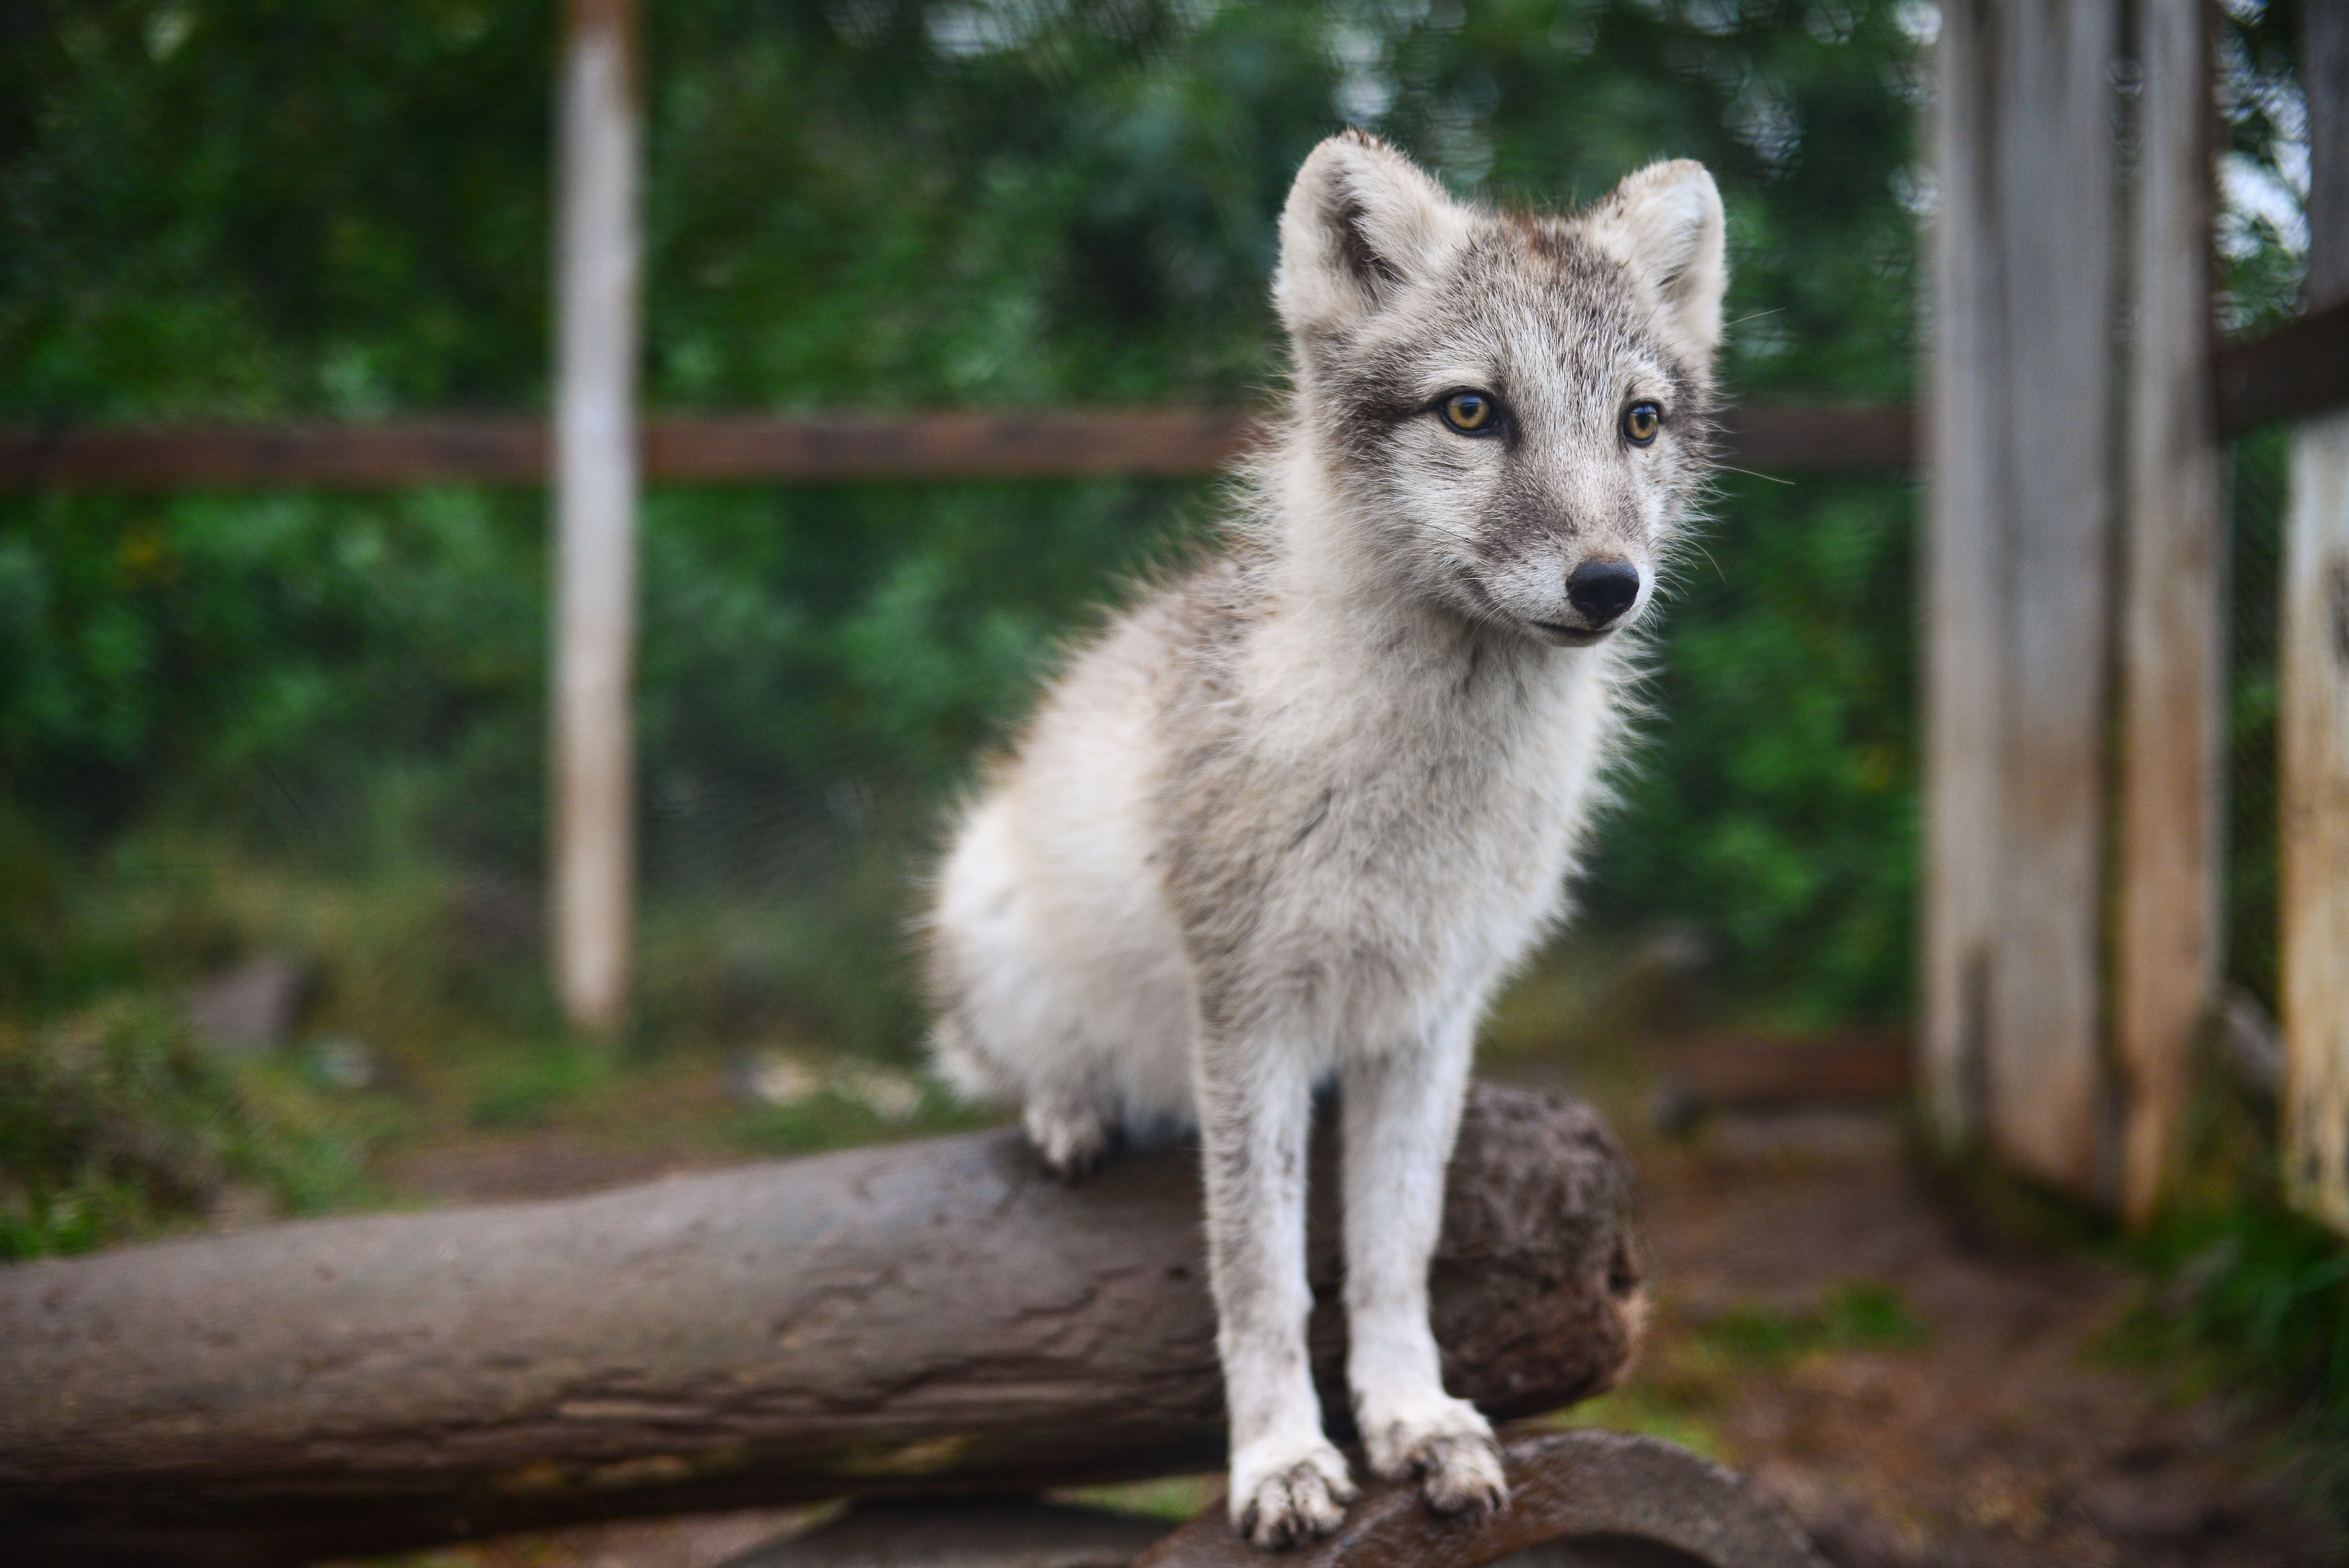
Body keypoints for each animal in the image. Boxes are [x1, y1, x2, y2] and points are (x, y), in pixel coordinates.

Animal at [922, 131, 1724, 1548]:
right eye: (1470, 412)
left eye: (1639, 421)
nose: (1606, 586)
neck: (1422, 793)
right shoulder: (1249, 1018)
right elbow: (1261, 1273)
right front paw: (1279, 1456)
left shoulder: (1429, 1018)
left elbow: (1394, 1254)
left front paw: (1413, 1420)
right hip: (993, 922)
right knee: (1014, 1065)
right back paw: (1071, 1109)